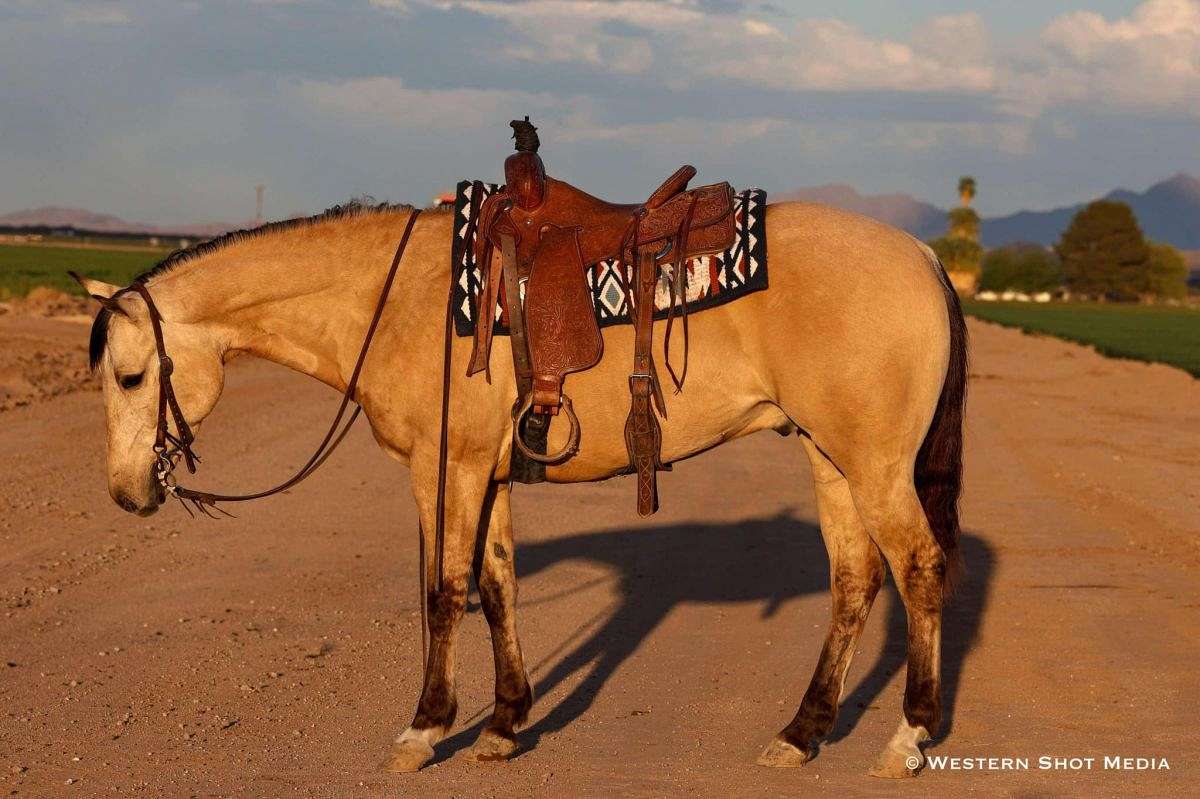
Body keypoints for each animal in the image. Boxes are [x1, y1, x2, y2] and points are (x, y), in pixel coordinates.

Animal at [76, 198, 967, 778]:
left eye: (130, 375)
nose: (127, 491)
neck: (395, 301)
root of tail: (924, 258)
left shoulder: (447, 467)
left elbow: (444, 589)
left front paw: (425, 728)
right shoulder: (490, 471)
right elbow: (498, 585)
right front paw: (504, 724)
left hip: (875, 464)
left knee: (919, 568)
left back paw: (907, 737)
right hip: (831, 457)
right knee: (855, 578)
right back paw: (802, 730)